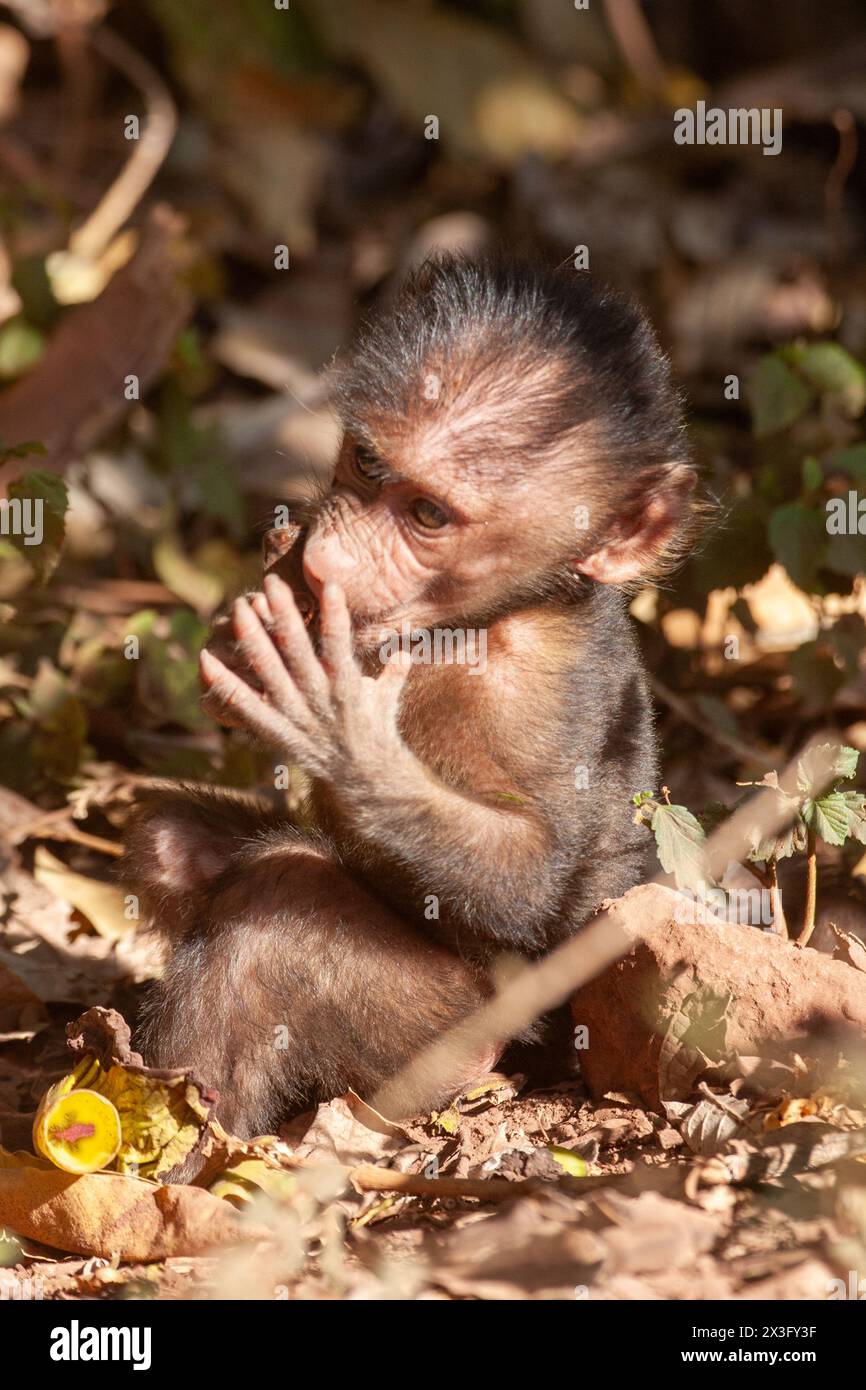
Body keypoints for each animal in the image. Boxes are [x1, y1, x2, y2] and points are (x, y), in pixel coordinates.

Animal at [123, 256, 697, 1145]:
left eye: (427, 514)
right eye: (365, 463)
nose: (324, 557)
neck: (493, 616)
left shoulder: (531, 686)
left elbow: (531, 878)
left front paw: (333, 724)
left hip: (453, 1027)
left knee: (281, 901)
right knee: (169, 841)